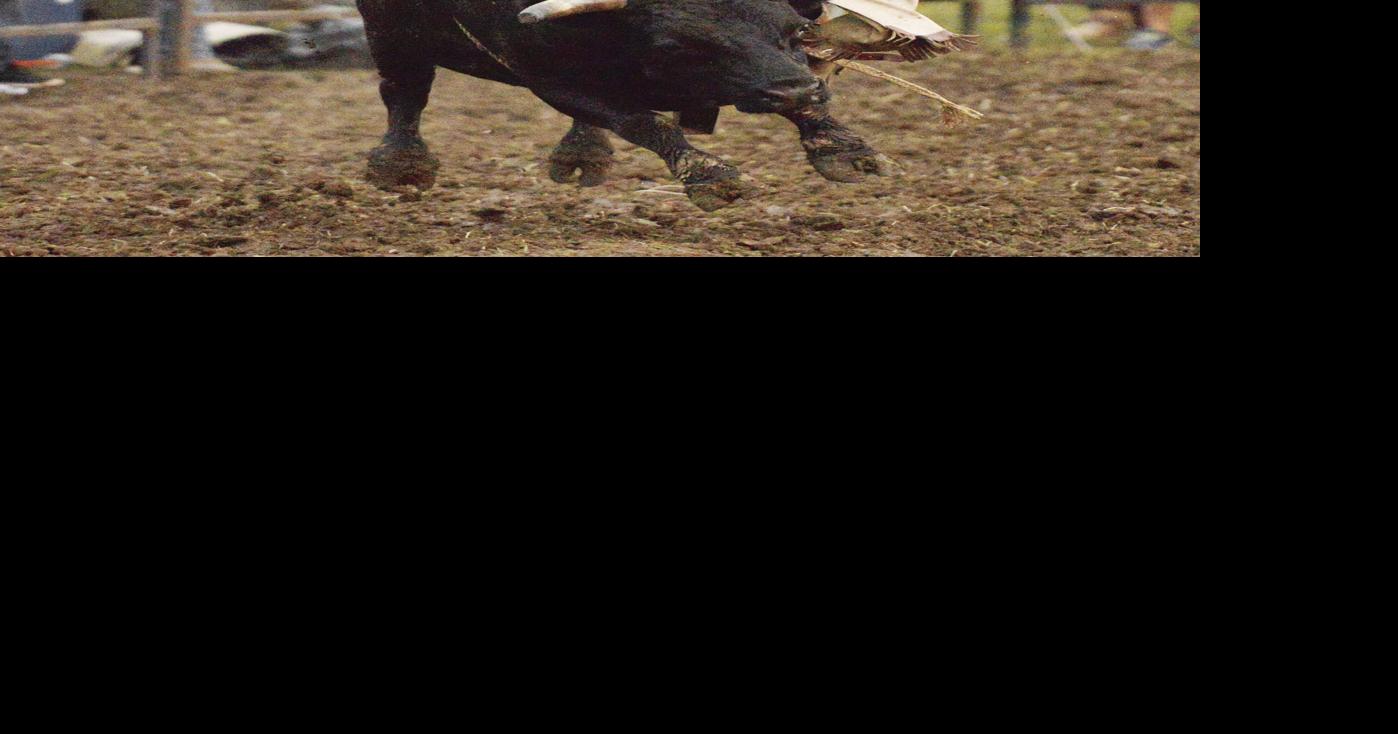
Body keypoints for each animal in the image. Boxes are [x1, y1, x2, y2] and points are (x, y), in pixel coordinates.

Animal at [356, 0, 898, 211]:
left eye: (794, 29)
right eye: (681, 46)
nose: (789, 91)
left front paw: (845, 150)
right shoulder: (548, 76)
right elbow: (645, 123)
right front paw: (711, 176)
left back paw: (583, 155)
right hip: (389, 31)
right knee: (405, 90)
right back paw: (401, 164)